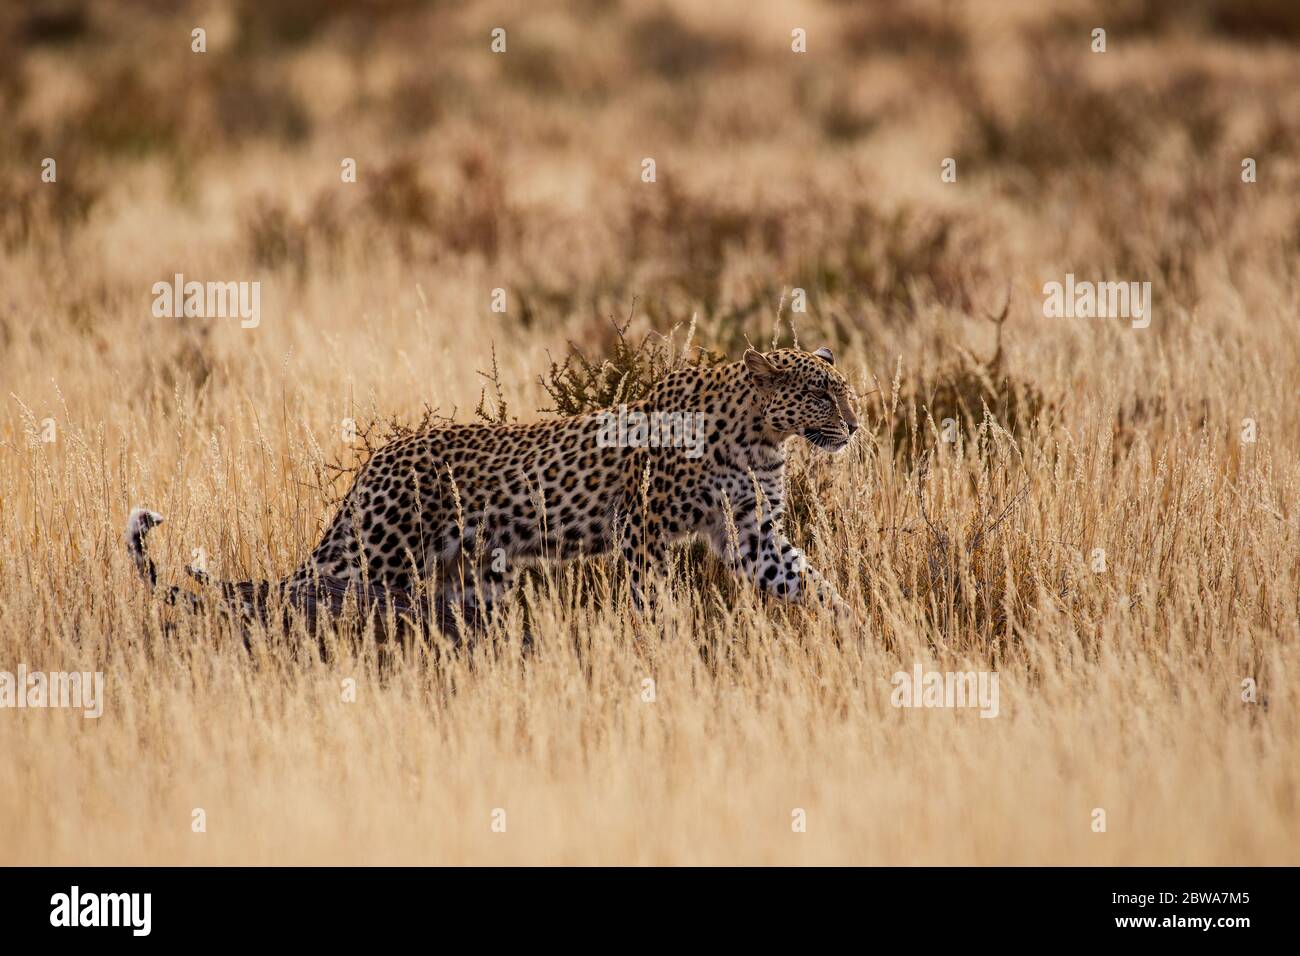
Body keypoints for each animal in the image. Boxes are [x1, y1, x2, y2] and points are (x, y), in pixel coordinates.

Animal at [126, 346, 859, 630]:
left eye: (844, 390)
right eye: (821, 393)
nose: (854, 424)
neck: (761, 436)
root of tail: (374, 465)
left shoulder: (751, 531)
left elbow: (805, 578)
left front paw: (852, 627)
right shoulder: (643, 530)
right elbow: (652, 597)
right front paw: (664, 642)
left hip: (469, 573)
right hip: (381, 559)